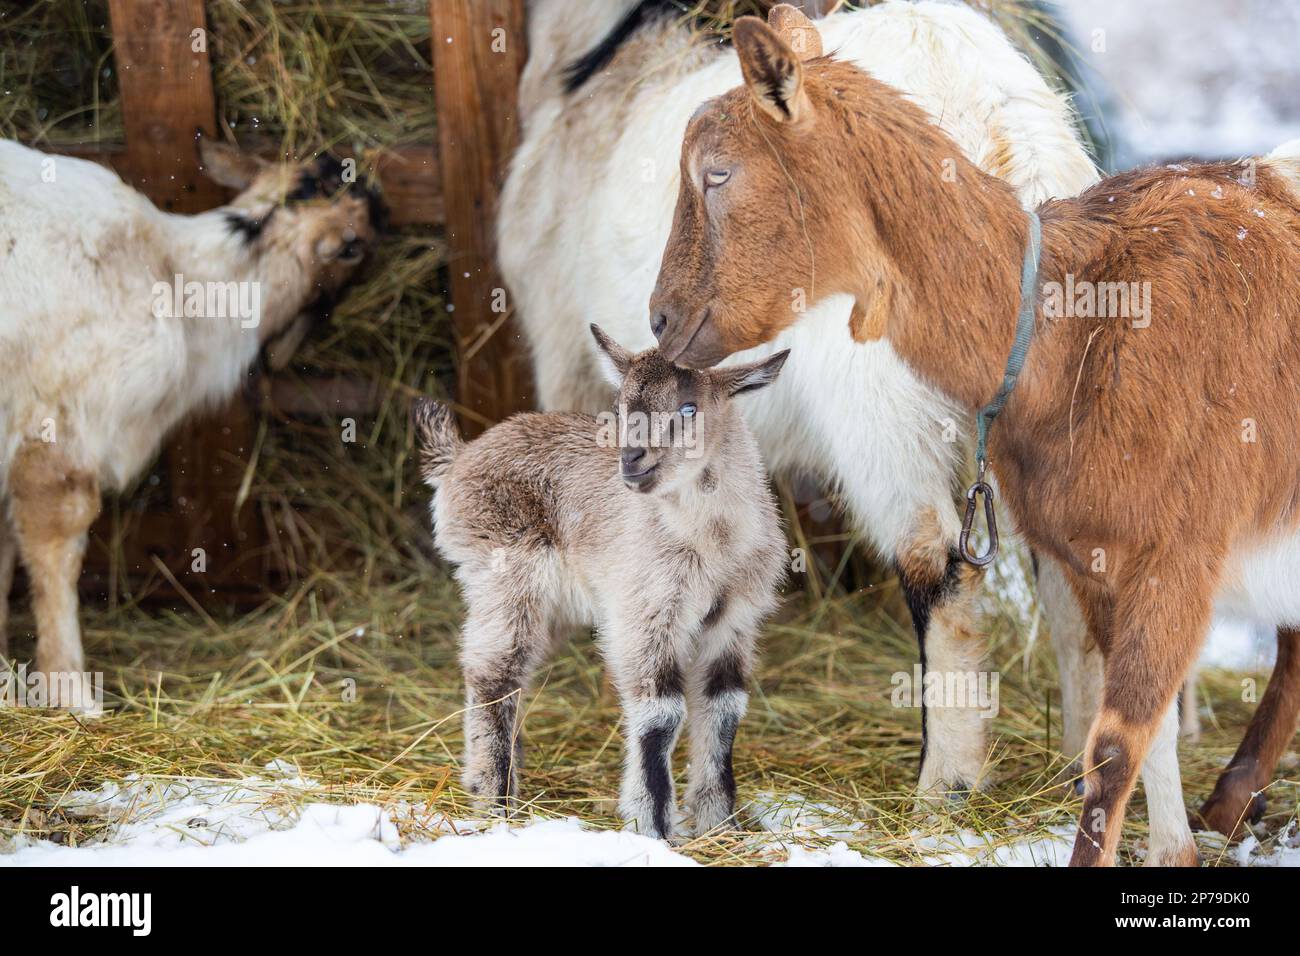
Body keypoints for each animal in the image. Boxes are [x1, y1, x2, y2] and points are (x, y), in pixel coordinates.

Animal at [413, 327, 788, 839]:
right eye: (622, 404)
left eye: (689, 408)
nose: (631, 460)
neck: (714, 540)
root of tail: (459, 460)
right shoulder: (646, 612)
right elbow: (661, 713)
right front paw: (653, 825)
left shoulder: (734, 619)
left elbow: (724, 708)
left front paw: (720, 825)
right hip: (505, 575)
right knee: (494, 671)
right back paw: (496, 799)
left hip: (548, 607)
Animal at [648, 10, 1300, 864]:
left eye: (718, 174)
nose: (660, 317)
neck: (1072, 326)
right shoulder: (1099, 563)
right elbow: (1142, 737)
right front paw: (1173, 853)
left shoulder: (1180, 555)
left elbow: (1114, 747)